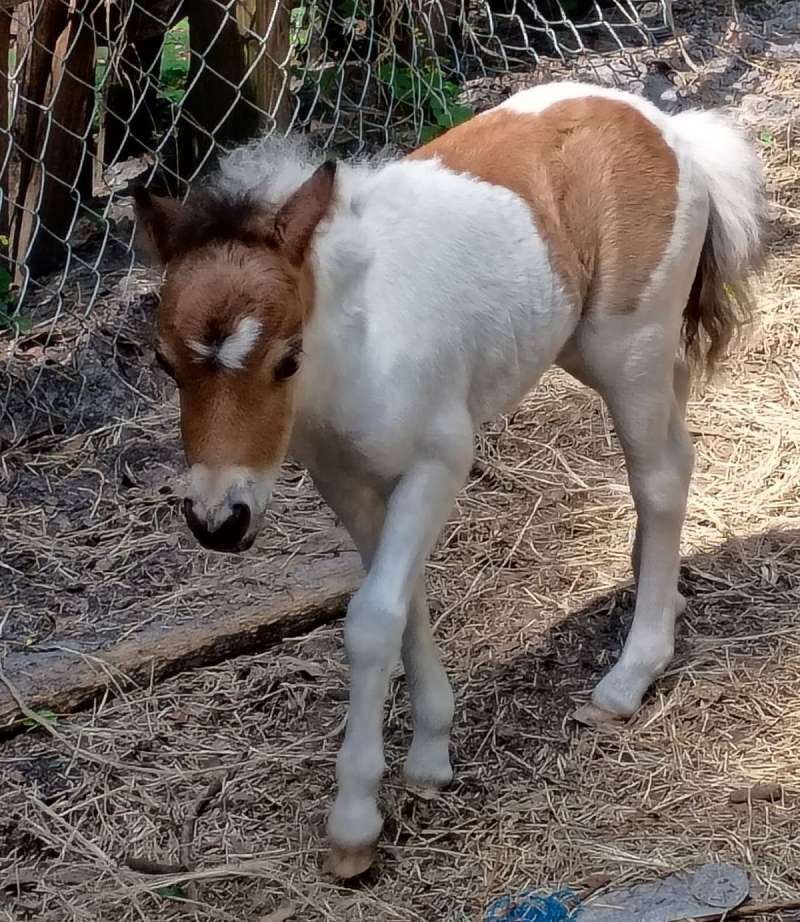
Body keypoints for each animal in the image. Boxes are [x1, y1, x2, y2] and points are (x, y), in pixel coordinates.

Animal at [133, 81, 765, 878]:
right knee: (671, 440)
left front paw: (354, 824)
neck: (357, 347)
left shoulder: (440, 462)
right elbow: (403, 604)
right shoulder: (349, 485)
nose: (219, 522)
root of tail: (666, 127)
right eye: (163, 363)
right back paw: (663, 591)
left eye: (287, 357)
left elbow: (373, 618)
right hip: (595, 349)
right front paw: (431, 757)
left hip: (627, 346)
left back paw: (630, 675)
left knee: (660, 476)